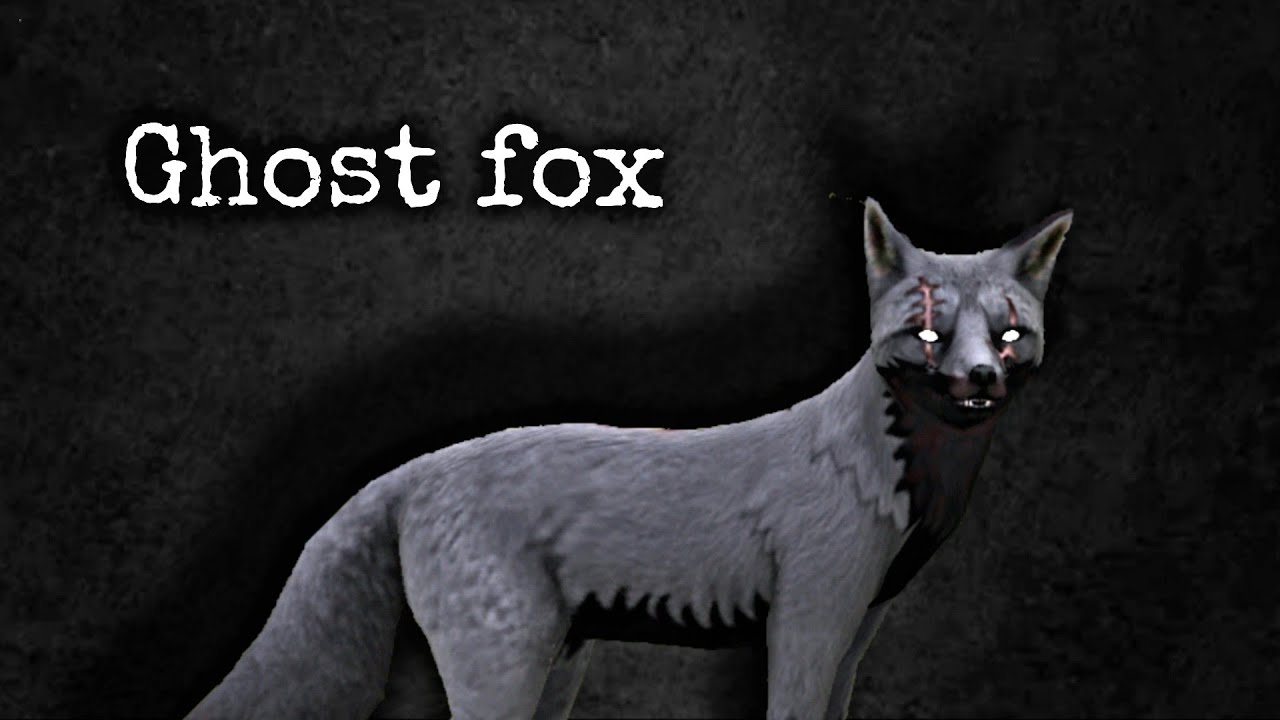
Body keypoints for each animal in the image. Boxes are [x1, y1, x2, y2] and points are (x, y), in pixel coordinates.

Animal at [186, 198, 1072, 720]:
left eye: (1008, 333)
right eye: (927, 334)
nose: (980, 379)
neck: (912, 490)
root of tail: (411, 470)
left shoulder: (860, 626)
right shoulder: (808, 620)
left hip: (557, 668)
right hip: (503, 666)